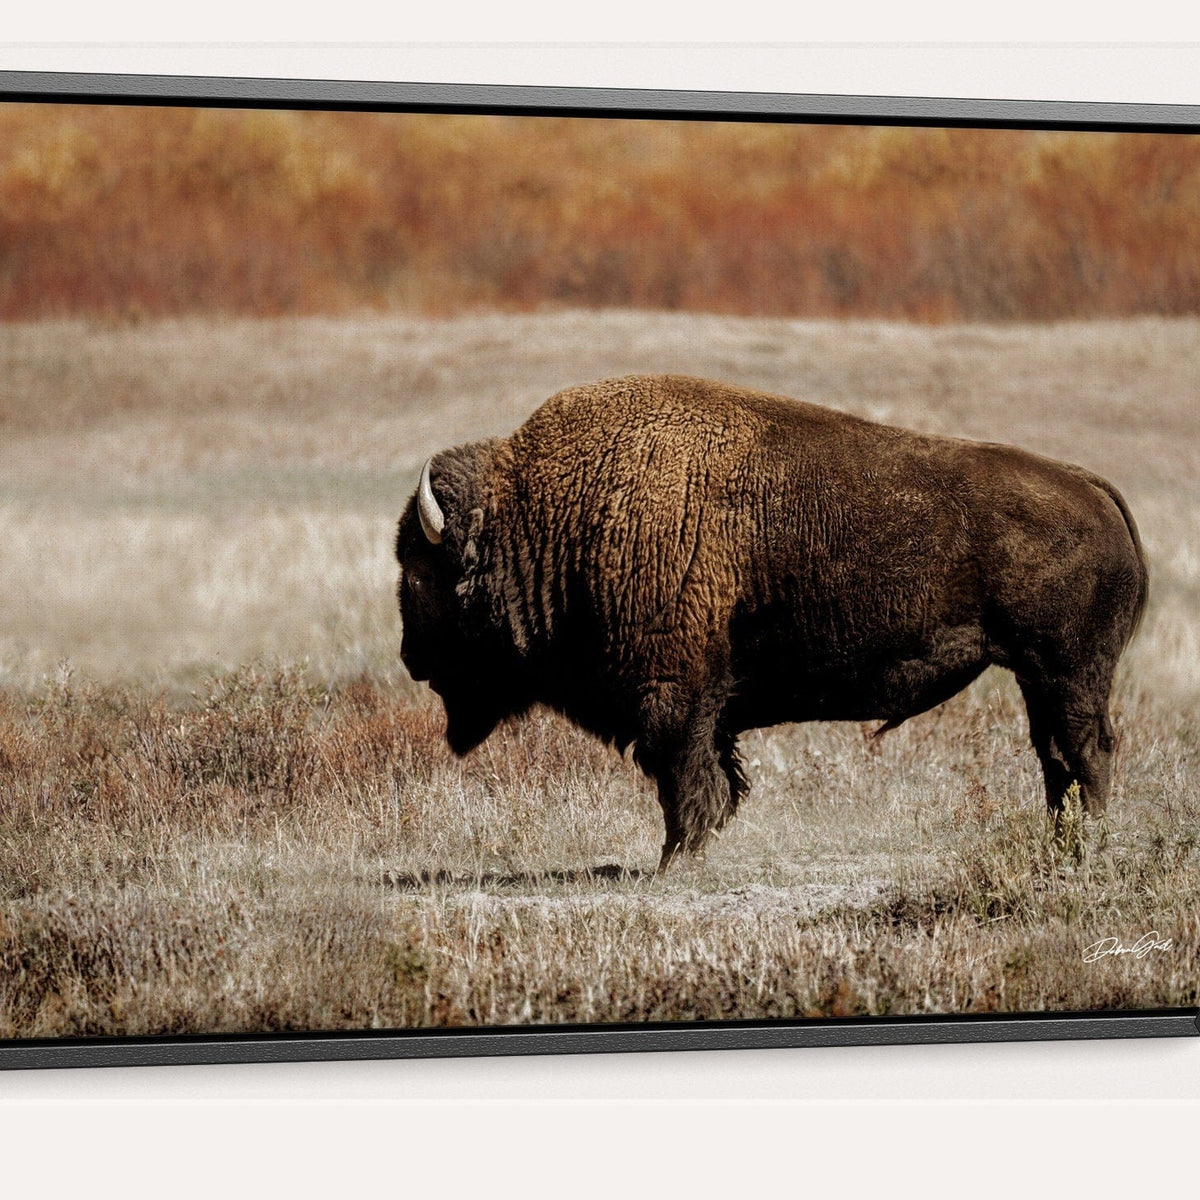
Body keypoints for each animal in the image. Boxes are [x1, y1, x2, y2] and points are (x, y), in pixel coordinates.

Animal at [395, 374, 1147, 866]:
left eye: (419, 572)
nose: (409, 657)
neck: (547, 511)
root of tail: (1089, 485)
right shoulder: (708, 707)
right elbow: (715, 779)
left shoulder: (673, 699)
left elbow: (683, 781)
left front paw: (674, 863)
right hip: (1037, 676)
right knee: (1057, 760)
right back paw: (1064, 847)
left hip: (1068, 672)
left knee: (1087, 753)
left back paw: (1090, 850)